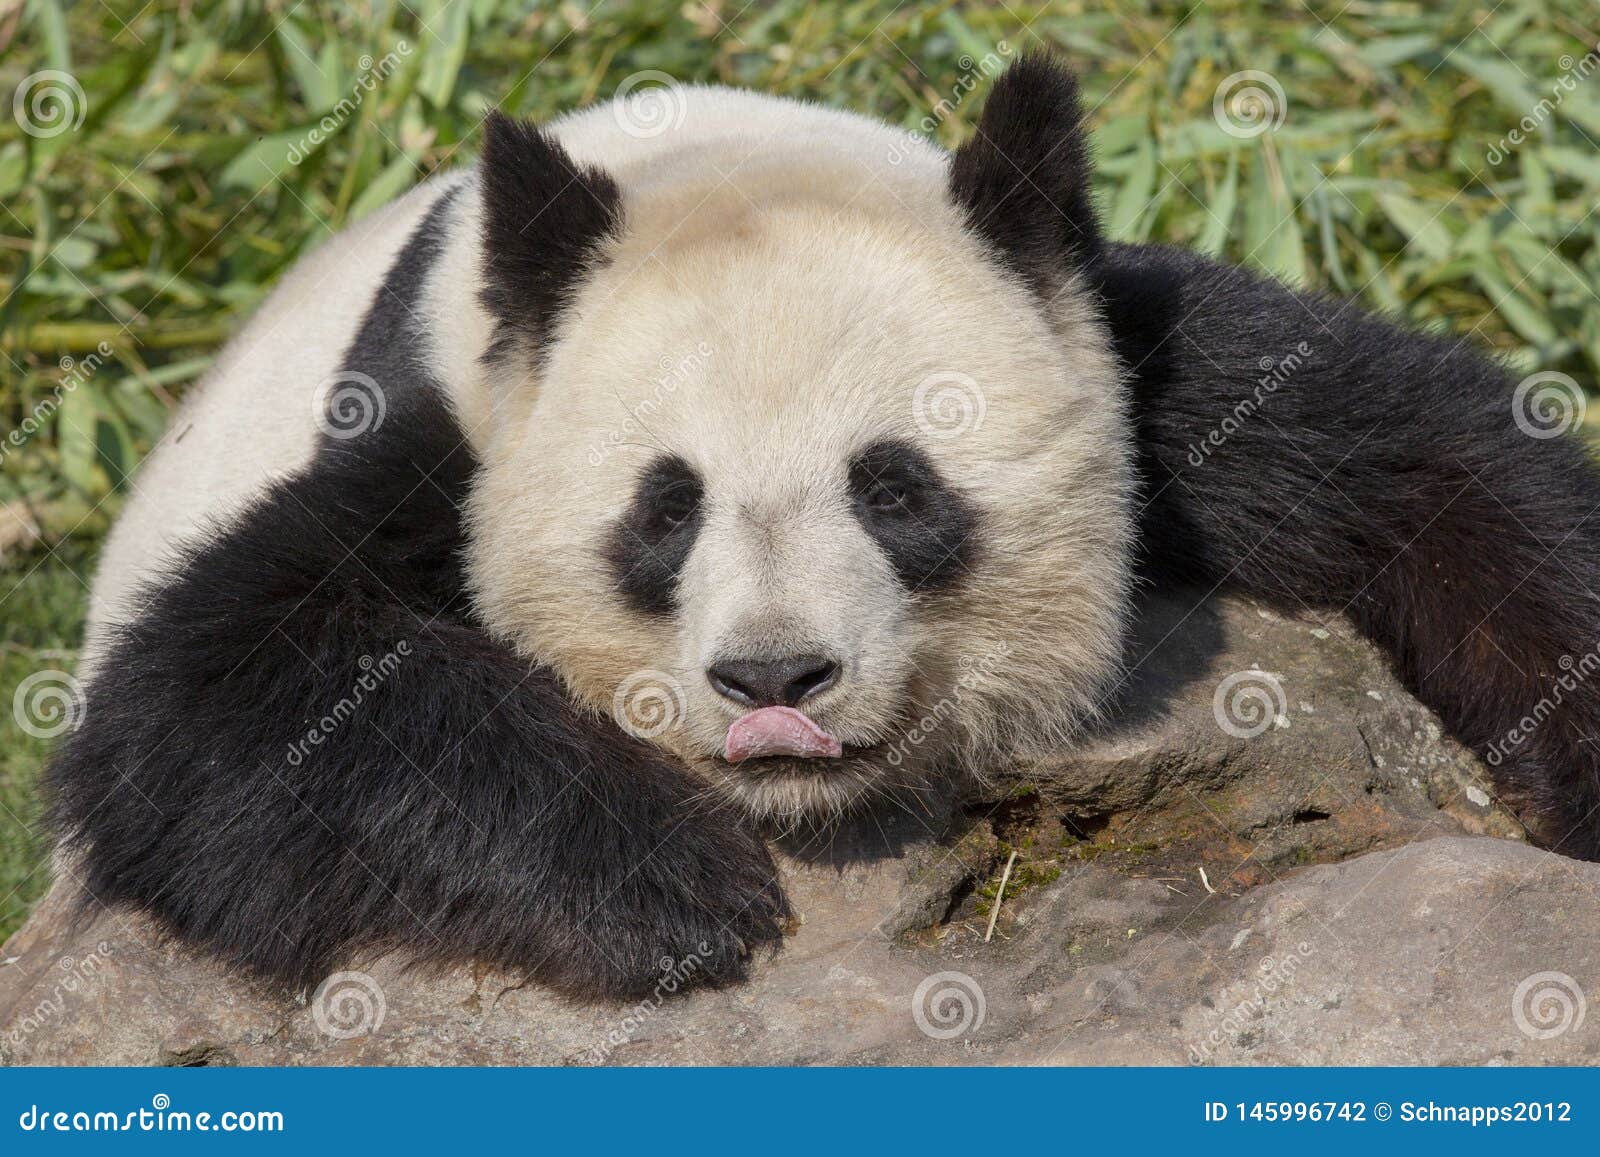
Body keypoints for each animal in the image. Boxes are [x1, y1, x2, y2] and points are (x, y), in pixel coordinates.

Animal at [48, 57, 1600, 1001]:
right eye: (666, 507)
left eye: (895, 488)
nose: (774, 680)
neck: (708, 152)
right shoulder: (460, 428)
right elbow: (208, 699)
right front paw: (663, 889)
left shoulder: (1137, 350)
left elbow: (1433, 457)